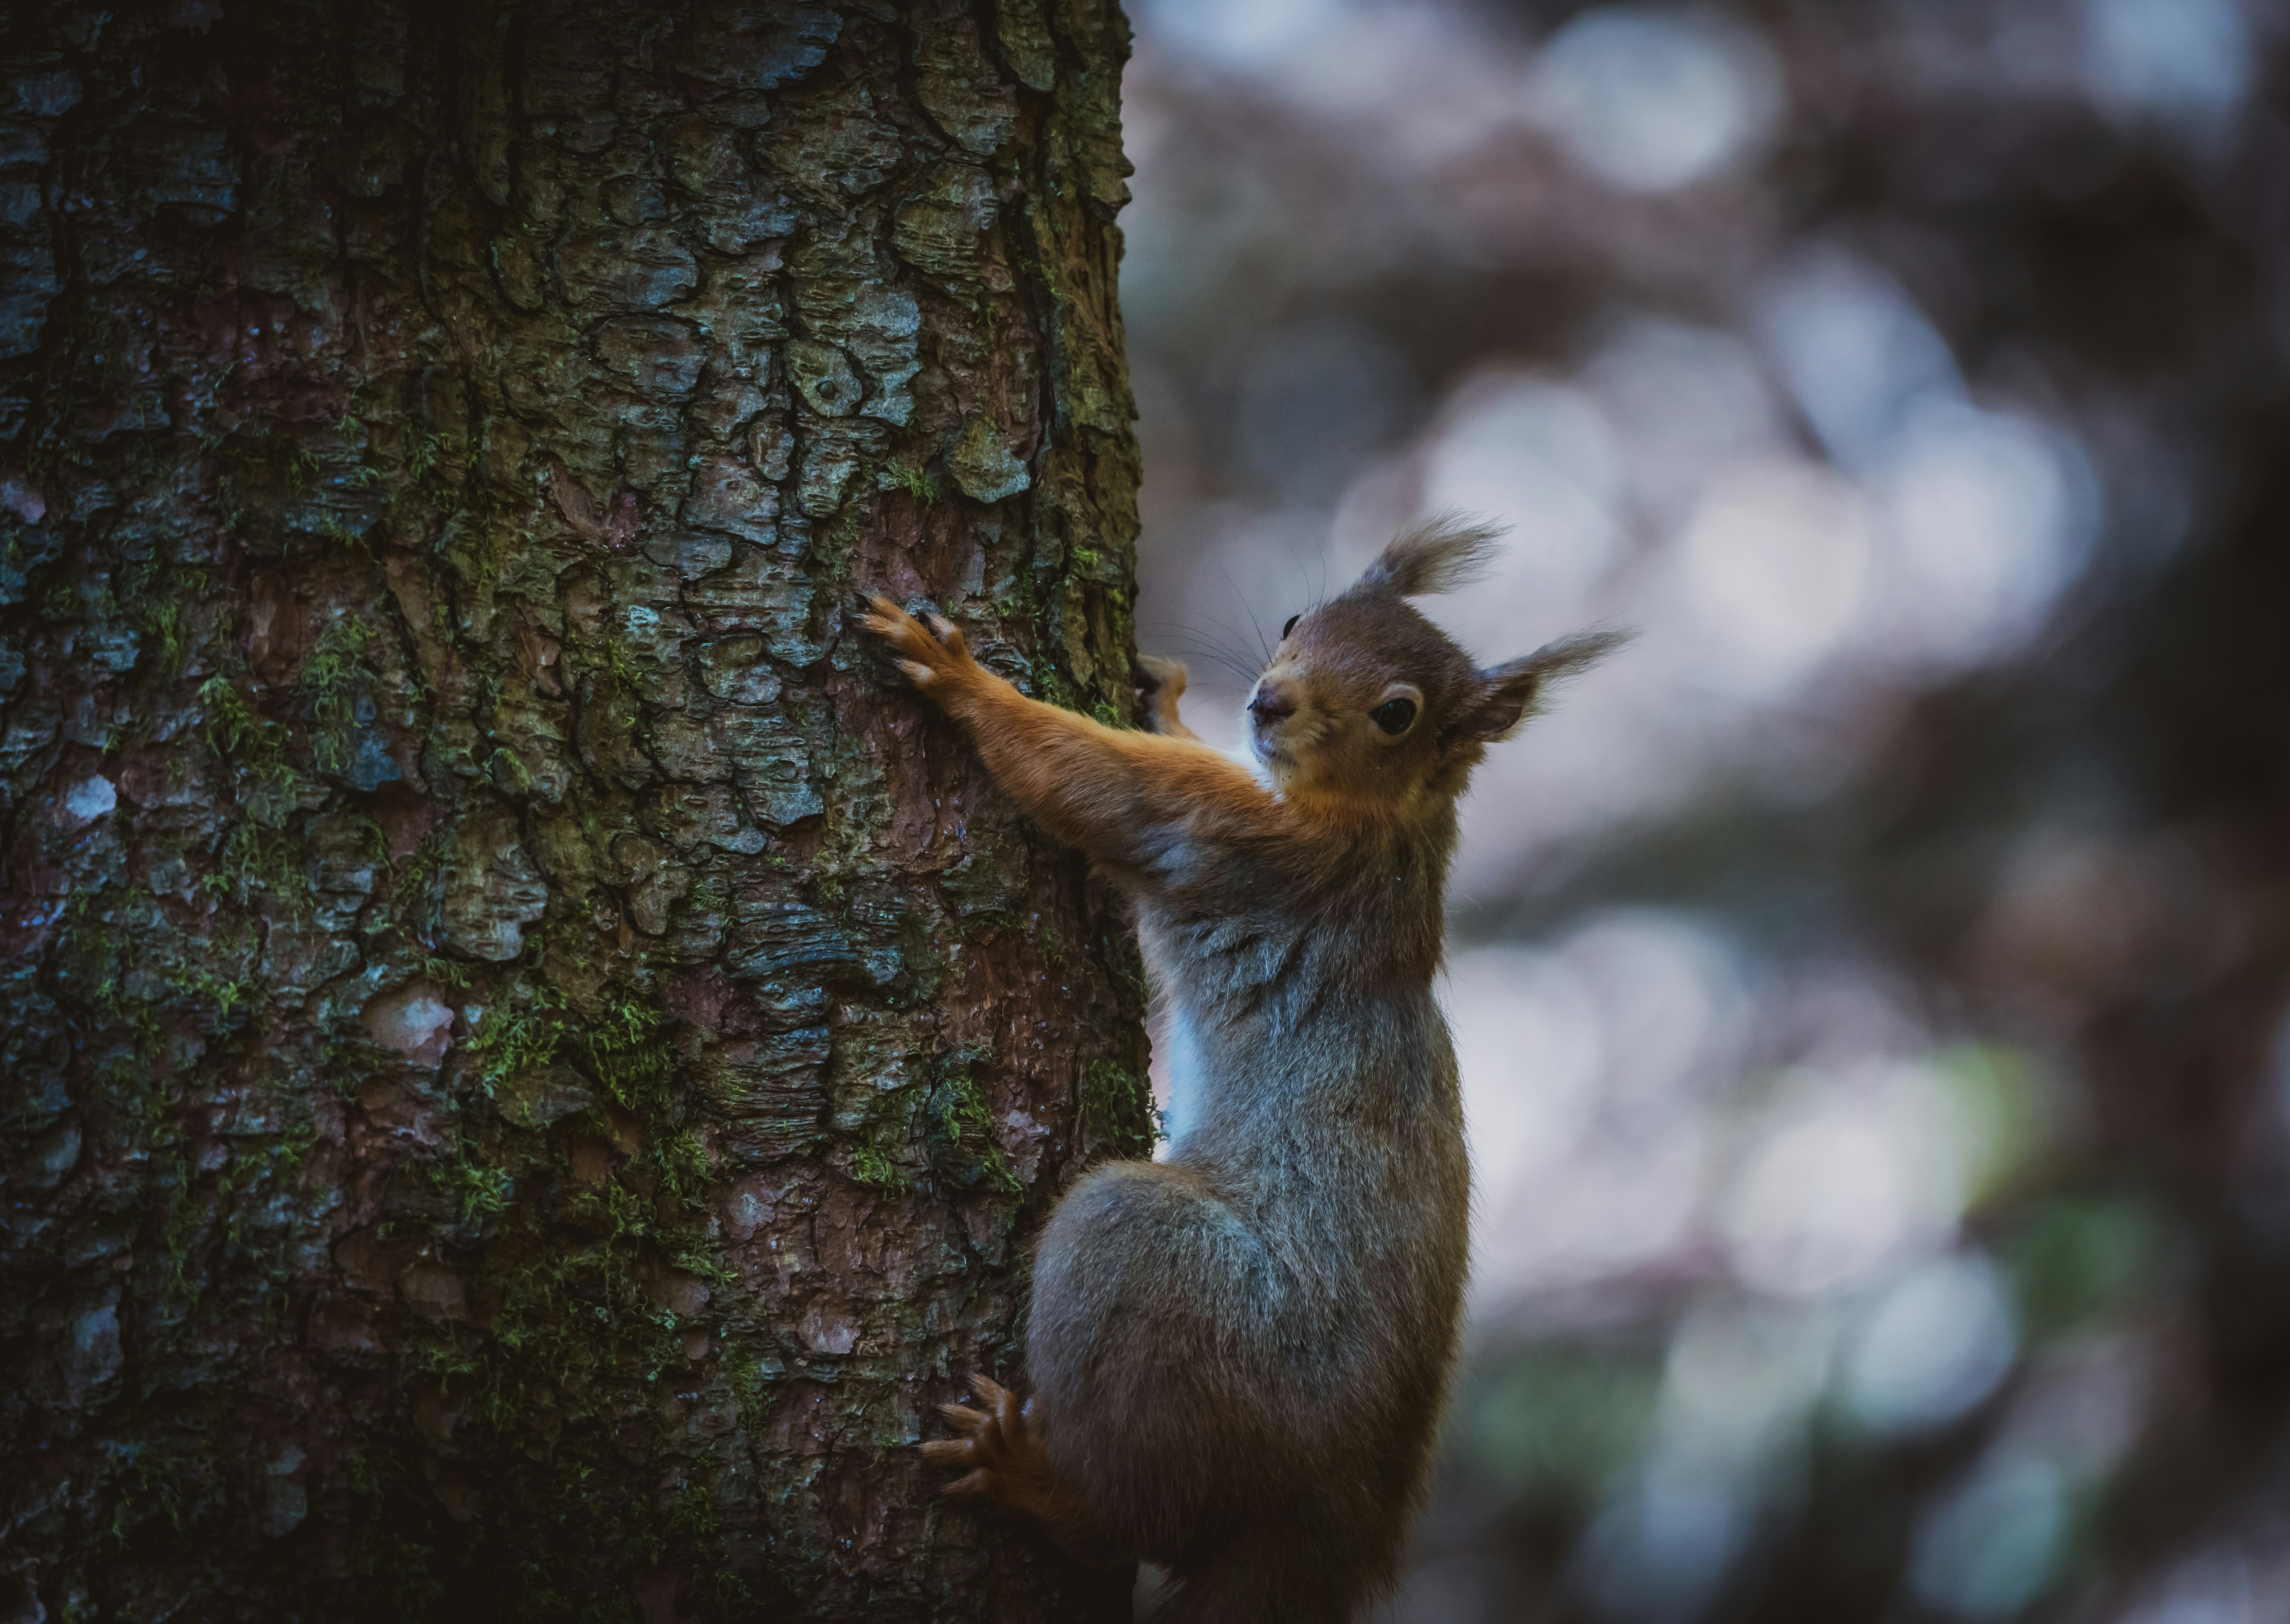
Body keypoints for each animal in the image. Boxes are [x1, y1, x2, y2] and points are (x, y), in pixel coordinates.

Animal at [862, 517, 1623, 1622]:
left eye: (1398, 714)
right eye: (1297, 619)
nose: (1267, 702)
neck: (1389, 821)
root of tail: (1327, 1529)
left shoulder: (1240, 842)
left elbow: (1095, 784)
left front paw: (961, 676)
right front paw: (1162, 696)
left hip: (1161, 1276)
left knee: (1130, 1514)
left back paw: (1035, 1481)